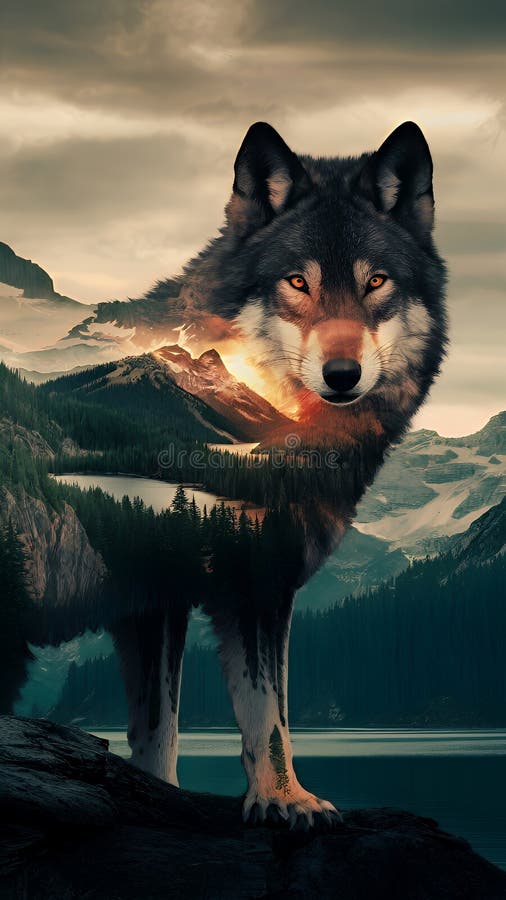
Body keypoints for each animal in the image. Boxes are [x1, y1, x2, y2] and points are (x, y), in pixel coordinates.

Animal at [111, 121, 447, 829]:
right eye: (298, 282)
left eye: (376, 282)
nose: (343, 376)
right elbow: (219, 718)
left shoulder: (249, 581)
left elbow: (253, 717)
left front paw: (282, 799)